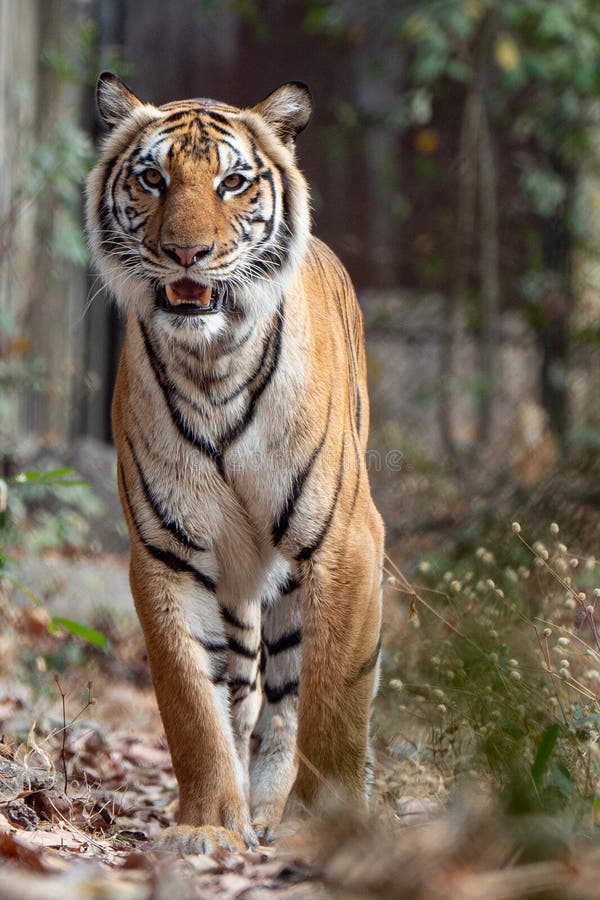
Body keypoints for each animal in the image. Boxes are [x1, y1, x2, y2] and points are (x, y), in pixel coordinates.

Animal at [86, 71, 384, 854]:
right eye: (153, 178)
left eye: (234, 182)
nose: (187, 253)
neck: (211, 362)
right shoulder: (166, 554)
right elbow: (192, 703)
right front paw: (208, 825)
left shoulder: (344, 543)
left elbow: (333, 705)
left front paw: (319, 828)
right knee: (246, 697)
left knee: (286, 703)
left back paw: (276, 816)